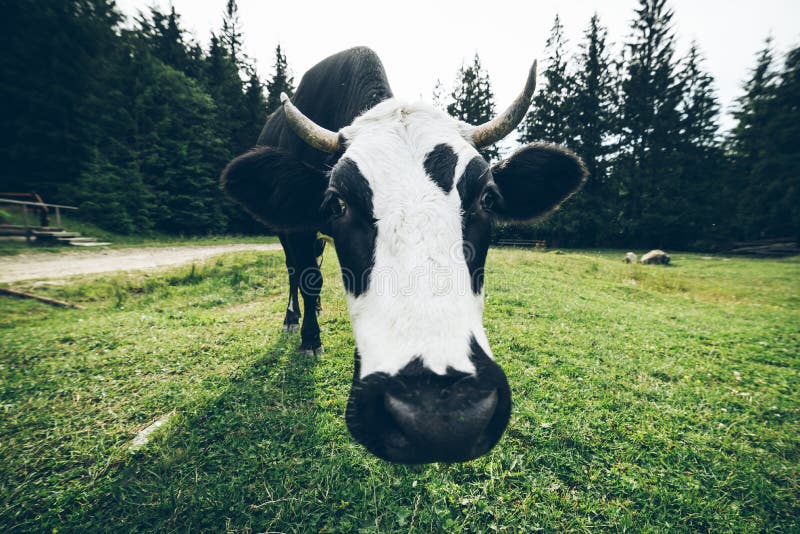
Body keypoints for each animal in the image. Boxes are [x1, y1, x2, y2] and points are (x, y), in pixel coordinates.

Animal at [221, 47, 587, 463]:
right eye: (337, 203)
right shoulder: (297, 228)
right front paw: (310, 340)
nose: (440, 417)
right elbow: (309, 279)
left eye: (488, 198)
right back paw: (292, 319)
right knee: (295, 273)